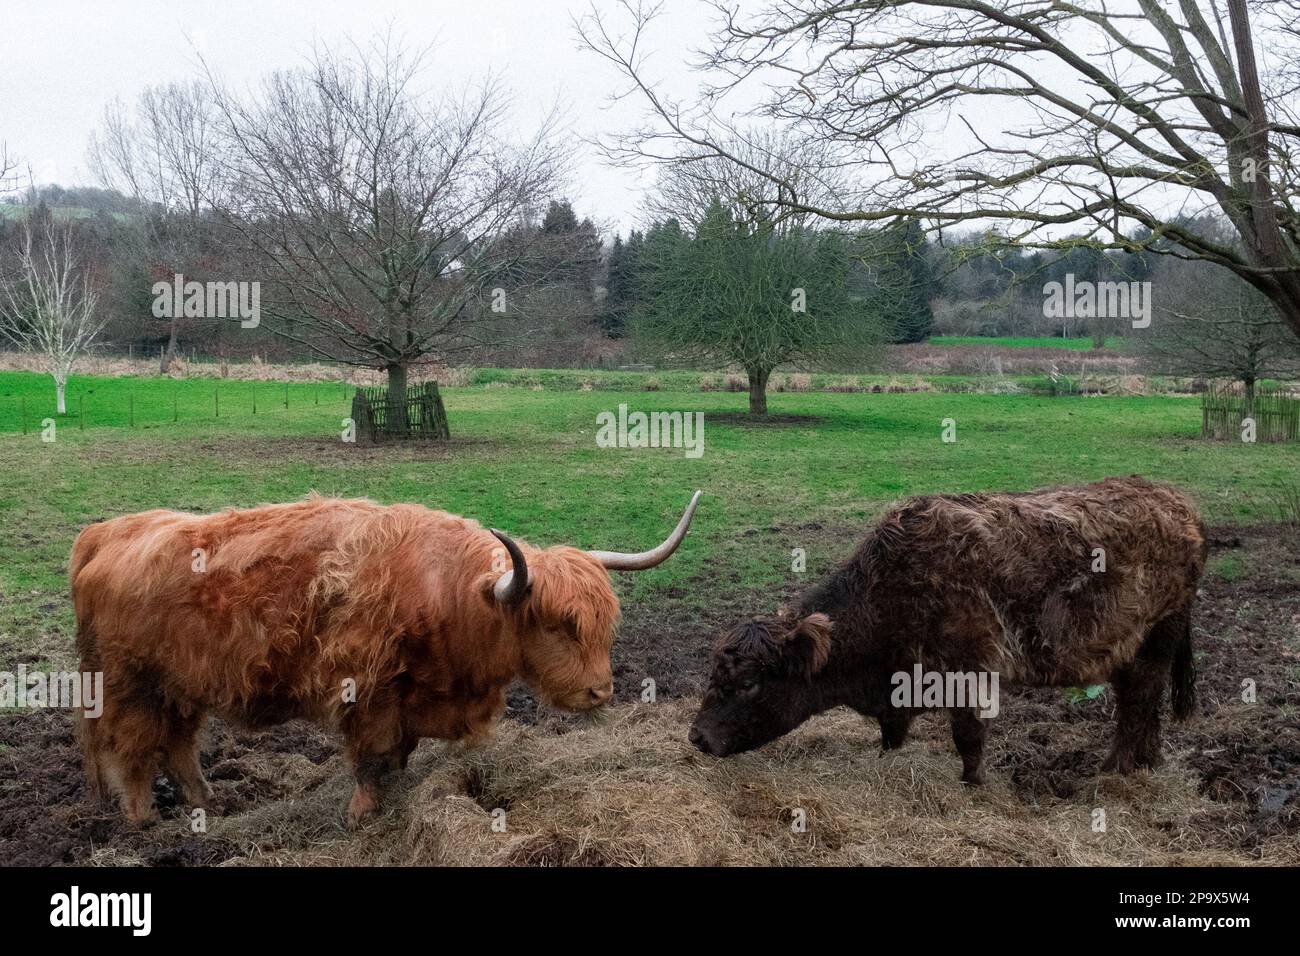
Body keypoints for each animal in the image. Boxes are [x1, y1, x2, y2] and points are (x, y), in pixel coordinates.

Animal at [71, 490, 700, 825]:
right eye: (557, 625)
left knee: (179, 745)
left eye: (603, 626)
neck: (449, 594)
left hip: (181, 686)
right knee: (132, 749)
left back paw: (209, 802)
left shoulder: (411, 701)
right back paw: (143, 819)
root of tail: (108, 532)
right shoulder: (366, 693)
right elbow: (372, 760)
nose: (602, 691)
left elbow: (400, 755)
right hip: (129, 684)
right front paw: (361, 816)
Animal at [689, 477, 1205, 784]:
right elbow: (891, 734)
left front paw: (973, 786)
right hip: (1131, 646)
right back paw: (1147, 762)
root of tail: (1174, 500)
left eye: (750, 683)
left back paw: (1113, 773)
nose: (697, 737)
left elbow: (969, 740)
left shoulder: (970, 671)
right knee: (1141, 699)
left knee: (1139, 700)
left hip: (1160, 634)